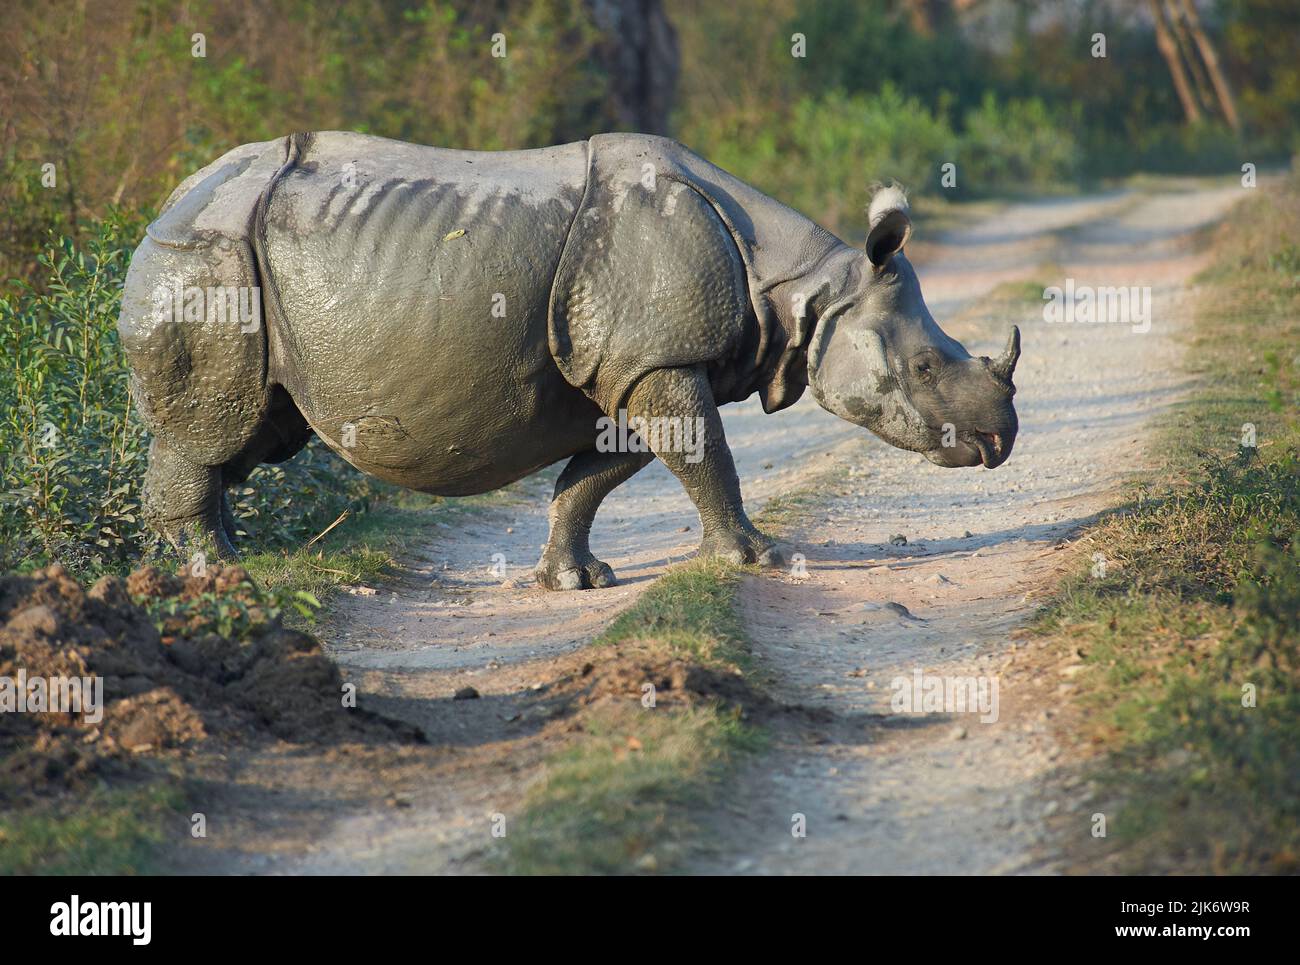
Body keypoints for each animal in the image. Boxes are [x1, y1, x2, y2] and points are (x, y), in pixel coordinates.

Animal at [118, 131, 1019, 590]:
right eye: (928, 370)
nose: (1001, 440)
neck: (805, 291)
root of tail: (165, 201)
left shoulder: (629, 366)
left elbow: (597, 473)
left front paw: (576, 578)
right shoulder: (658, 356)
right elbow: (706, 454)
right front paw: (758, 558)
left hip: (231, 258)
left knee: (257, 434)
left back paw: (220, 563)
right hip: (205, 263)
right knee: (214, 428)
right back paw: (219, 575)